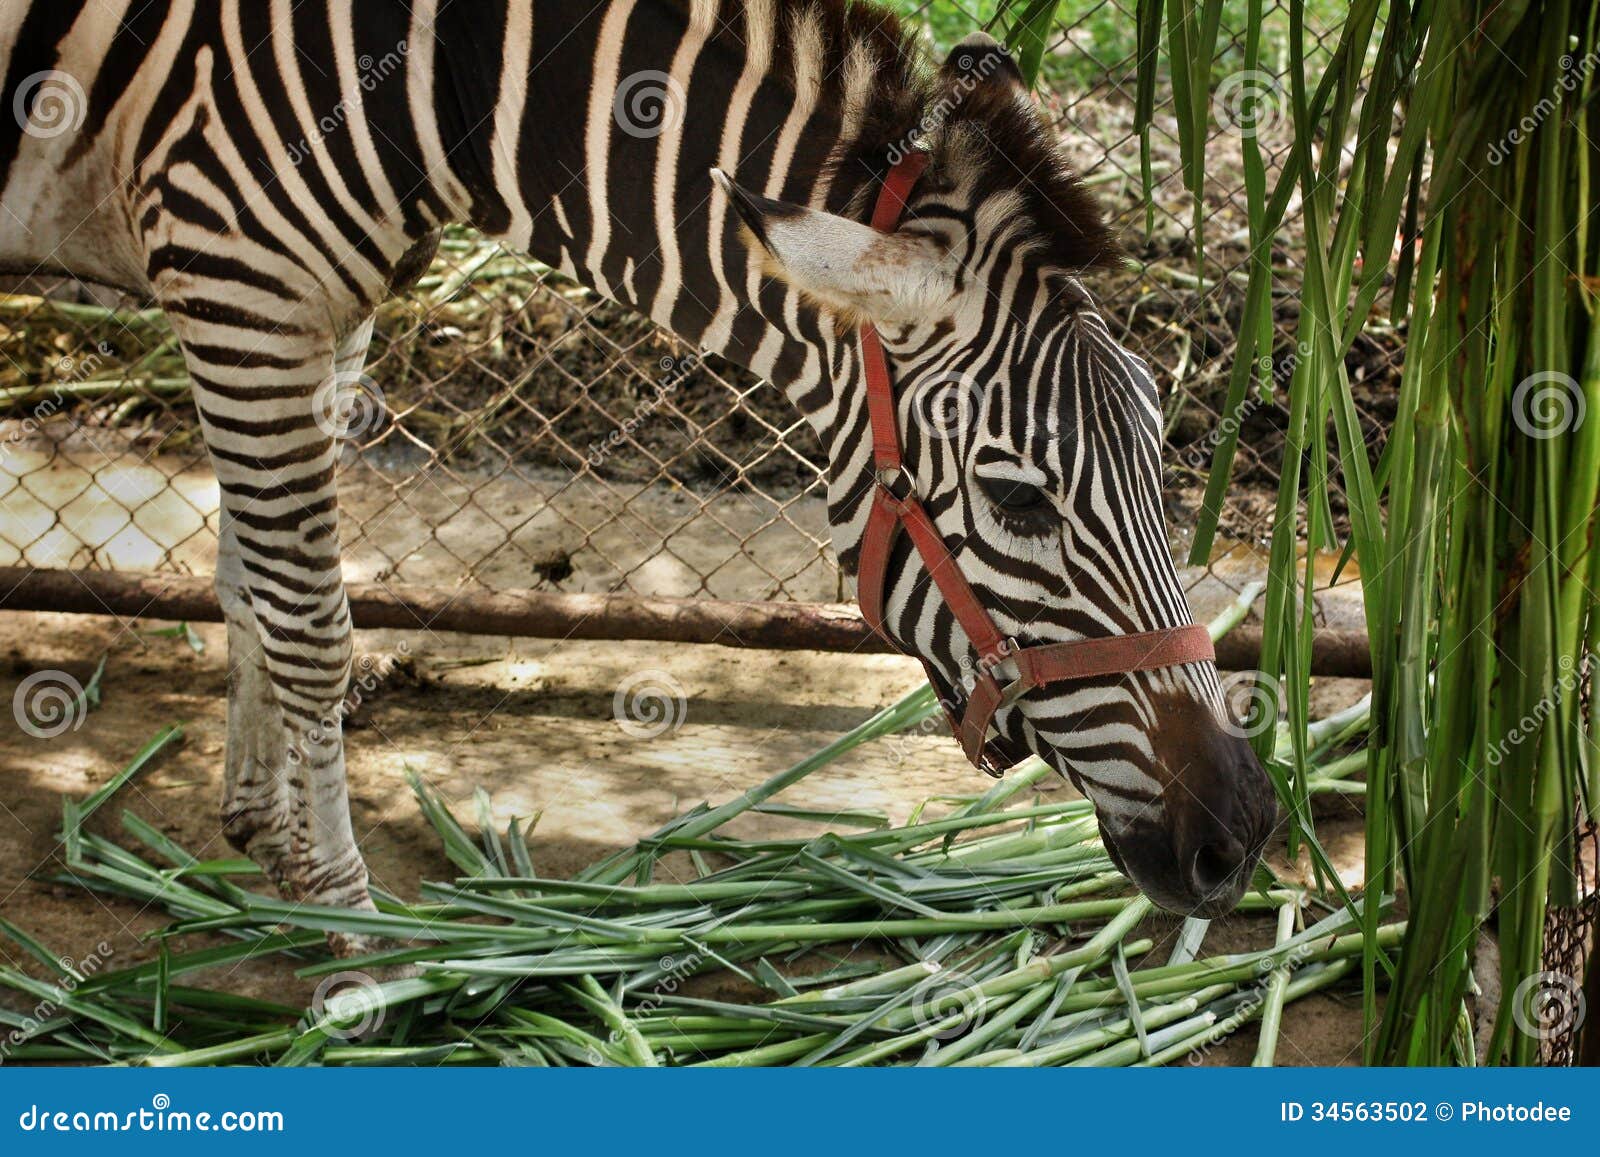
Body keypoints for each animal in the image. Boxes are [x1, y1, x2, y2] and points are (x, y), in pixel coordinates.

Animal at [0, 0, 1275, 953]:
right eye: (1017, 498)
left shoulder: (304, 304)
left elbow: (246, 582)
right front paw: (354, 940)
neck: (443, 77)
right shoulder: (241, 280)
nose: (1247, 831)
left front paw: (269, 836)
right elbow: (309, 622)